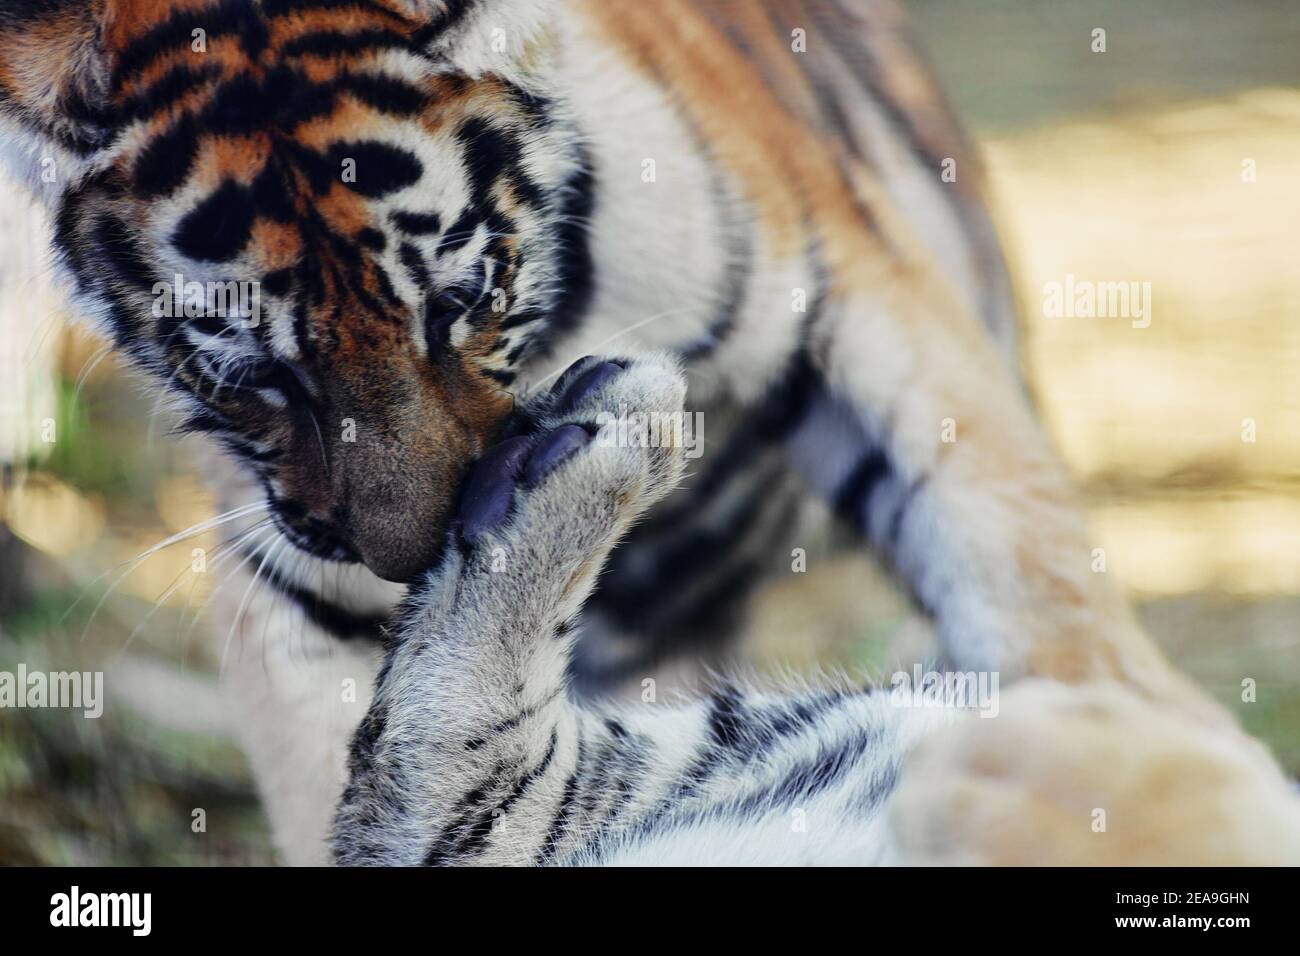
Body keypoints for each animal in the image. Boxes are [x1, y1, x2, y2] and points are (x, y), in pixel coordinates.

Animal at [3, 0, 1297, 865]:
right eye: (260, 382)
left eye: (458, 303)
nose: (413, 552)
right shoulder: (295, 568)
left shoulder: (853, 287)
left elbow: (1017, 544)